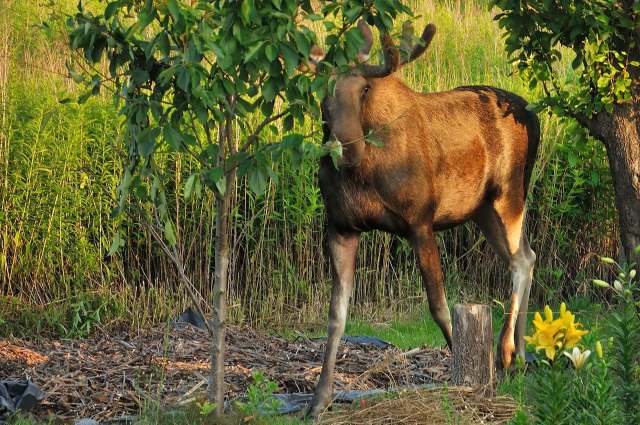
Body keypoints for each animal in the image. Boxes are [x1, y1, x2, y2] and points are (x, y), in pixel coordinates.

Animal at [307, 20, 540, 416]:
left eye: (364, 88)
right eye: (321, 88)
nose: (346, 150)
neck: (364, 174)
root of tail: (534, 114)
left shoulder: (420, 220)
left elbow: (439, 306)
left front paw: (473, 379)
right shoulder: (340, 227)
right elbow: (336, 316)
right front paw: (319, 399)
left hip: (509, 191)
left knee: (520, 260)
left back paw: (506, 351)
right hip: (480, 208)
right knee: (526, 254)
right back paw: (521, 354)